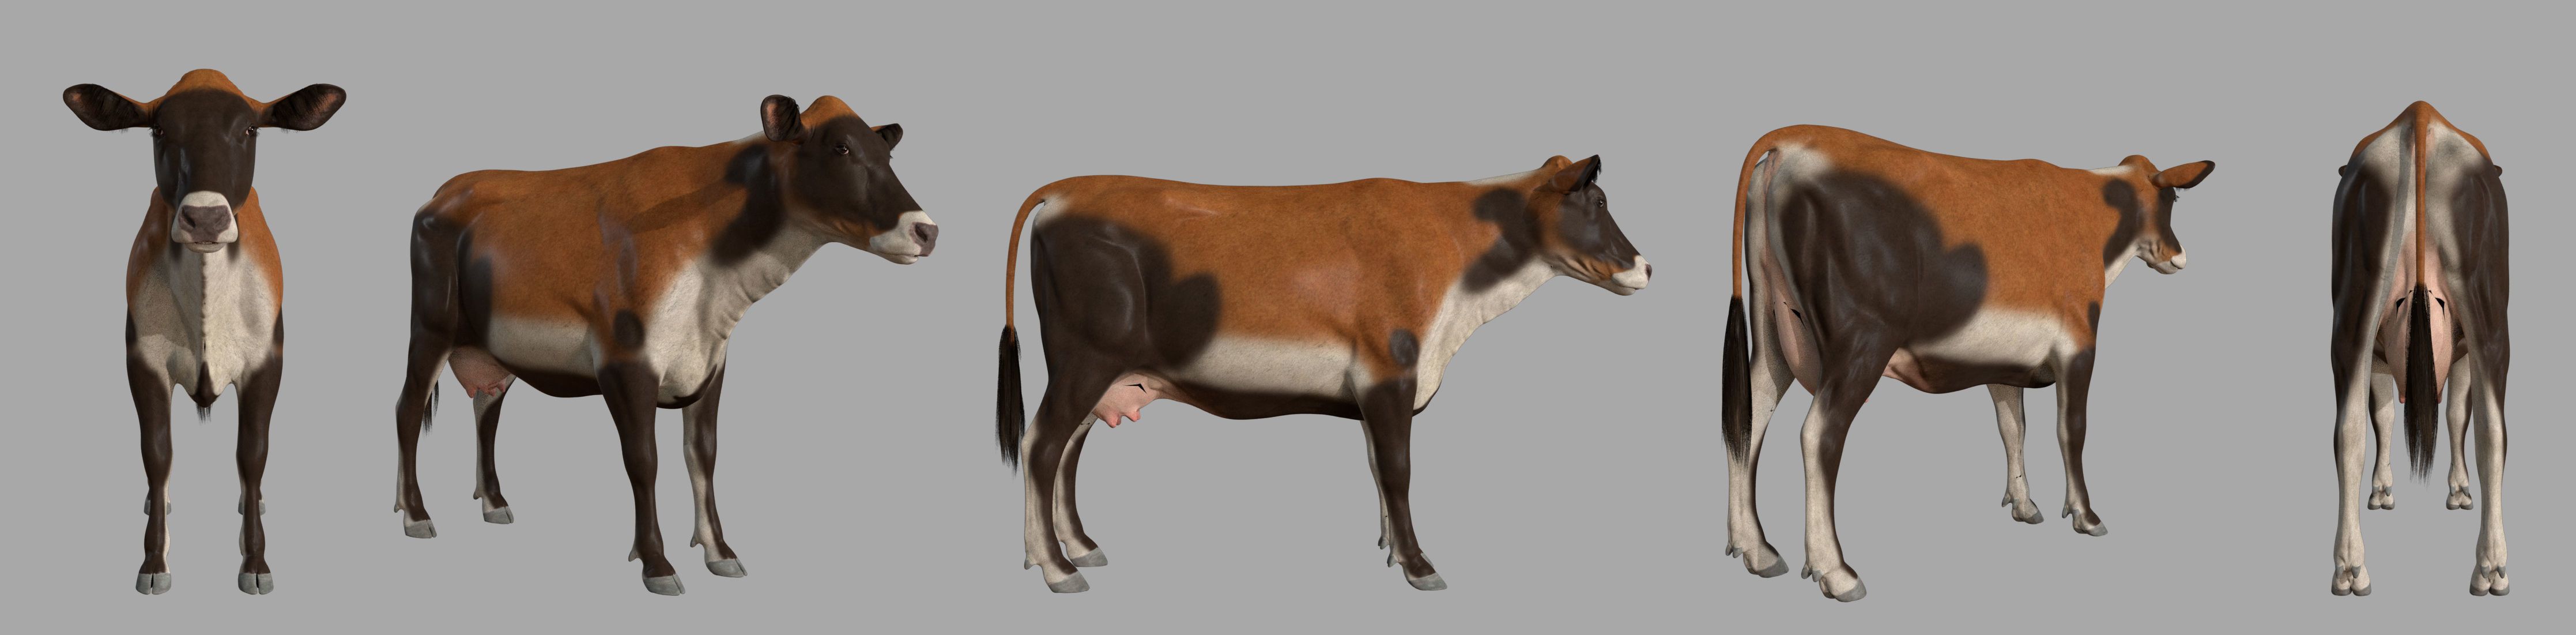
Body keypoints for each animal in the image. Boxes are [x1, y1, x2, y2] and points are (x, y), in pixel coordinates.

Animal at [64, 70, 345, 596]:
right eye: (158, 131)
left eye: (250, 130)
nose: (206, 219)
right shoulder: (143, 361)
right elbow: (157, 452)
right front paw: (154, 562)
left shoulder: (267, 362)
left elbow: (252, 453)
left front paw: (255, 561)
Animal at [392, 94, 936, 595]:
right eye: (840, 147)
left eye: (886, 154)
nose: (926, 230)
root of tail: (441, 193)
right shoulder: (625, 363)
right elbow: (643, 461)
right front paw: (657, 563)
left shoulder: (710, 362)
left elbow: (703, 454)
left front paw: (721, 552)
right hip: (431, 328)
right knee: (408, 408)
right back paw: (415, 513)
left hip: (489, 349)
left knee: (486, 407)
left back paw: (494, 503)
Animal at [993, 155, 1650, 593]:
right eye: (1595, 203)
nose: (1646, 267)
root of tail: (1064, 188)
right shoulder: (1391, 373)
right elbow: (1398, 471)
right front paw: (1420, 566)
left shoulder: (1368, 391)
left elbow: (1377, 471)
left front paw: (1389, 550)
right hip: (1084, 359)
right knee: (1041, 444)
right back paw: (1057, 569)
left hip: (1101, 373)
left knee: (1066, 451)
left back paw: (1082, 548)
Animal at [1719, 125, 2214, 601]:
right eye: (2171, 198)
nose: (2178, 256)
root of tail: (1791, 141)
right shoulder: (2078, 346)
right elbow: (2071, 429)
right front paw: (2086, 515)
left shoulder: (2005, 364)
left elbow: (2013, 428)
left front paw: (2024, 504)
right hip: (1860, 342)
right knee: (1818, 433)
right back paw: (1836, 572)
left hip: (1773, 329)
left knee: (1750, 418)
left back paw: (1757, 551)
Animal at [2325, 101, 2509, 597]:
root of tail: (2419, 117)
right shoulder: (2463, 352)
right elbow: (2457, 414)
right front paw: (2458, 489)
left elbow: (2387, 413)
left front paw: (2385, 489)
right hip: (2490, 318)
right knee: (2492, 429)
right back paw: (2492, 566)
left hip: (2352, 310)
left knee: (2348, 427)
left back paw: (2349, 567)